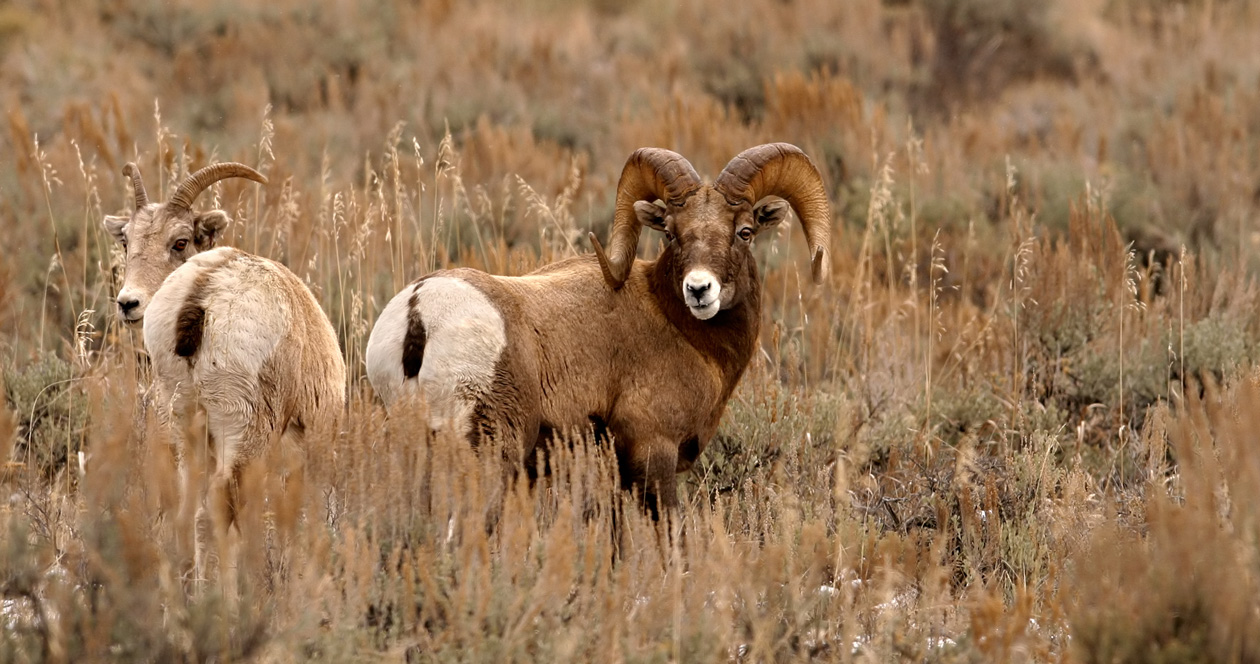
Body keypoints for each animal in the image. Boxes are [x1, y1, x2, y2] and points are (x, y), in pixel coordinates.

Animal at [104, 161, 346, 579]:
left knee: (182, 510)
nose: (128, 303)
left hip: (182, 419)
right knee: (216, 510)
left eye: (179, 242)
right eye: (126, 242)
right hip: (242, 430)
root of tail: (202, 289)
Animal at [365, 143, 831, 516]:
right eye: (671, 234)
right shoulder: (654, 456)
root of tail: (419, 311)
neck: (677, 326)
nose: (699, 289)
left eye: (745, 231)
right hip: (489, 454)